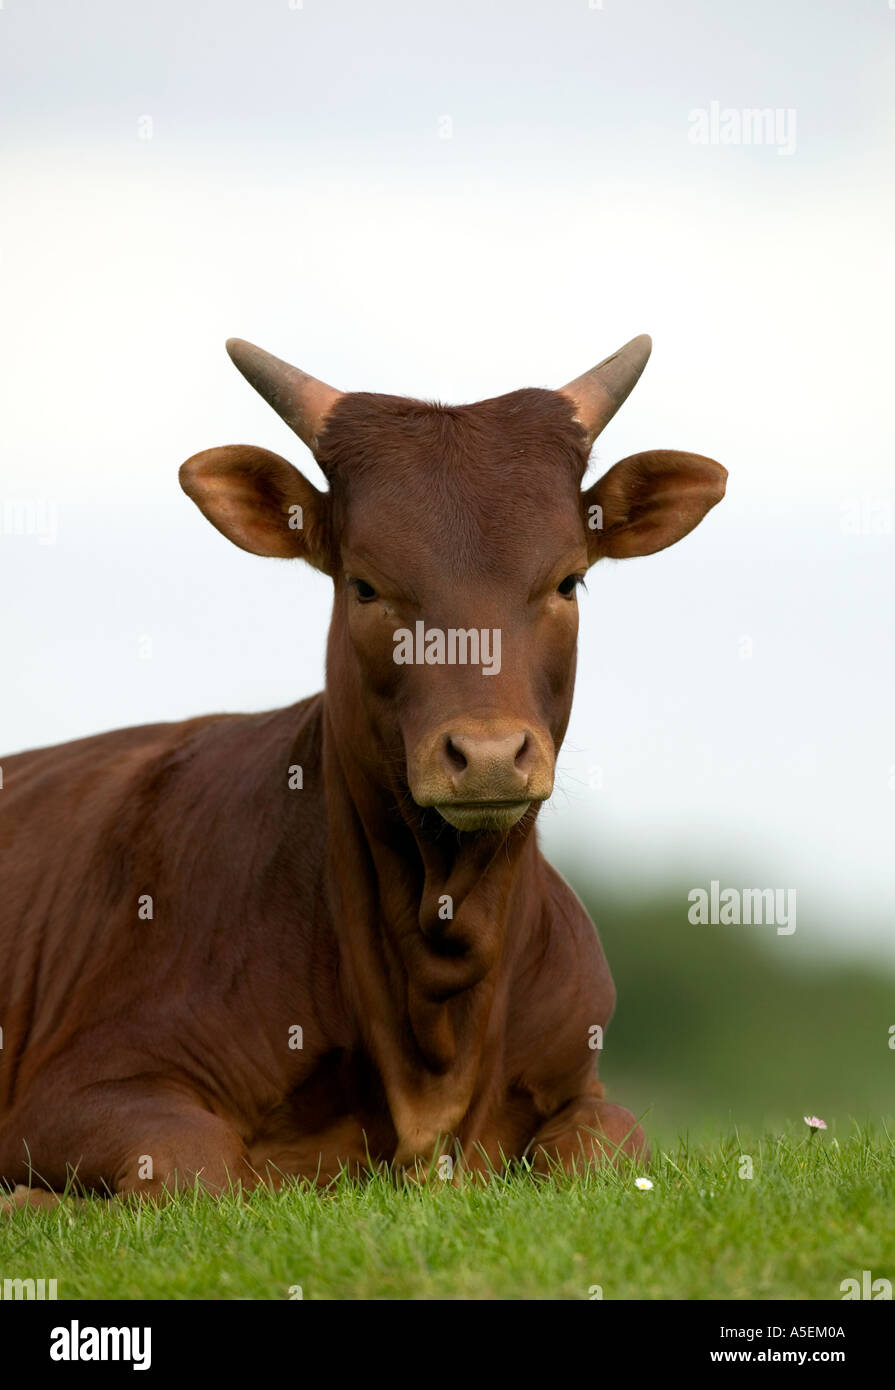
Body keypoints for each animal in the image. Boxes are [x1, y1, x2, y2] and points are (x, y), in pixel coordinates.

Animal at [0, 334, 726, 1203]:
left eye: (567, 581)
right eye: (365, 585)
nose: (488, 755)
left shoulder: (582, 1086)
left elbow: (607, 1143)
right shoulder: (78, 1087)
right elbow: (190, 1163)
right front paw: (30, 1201)